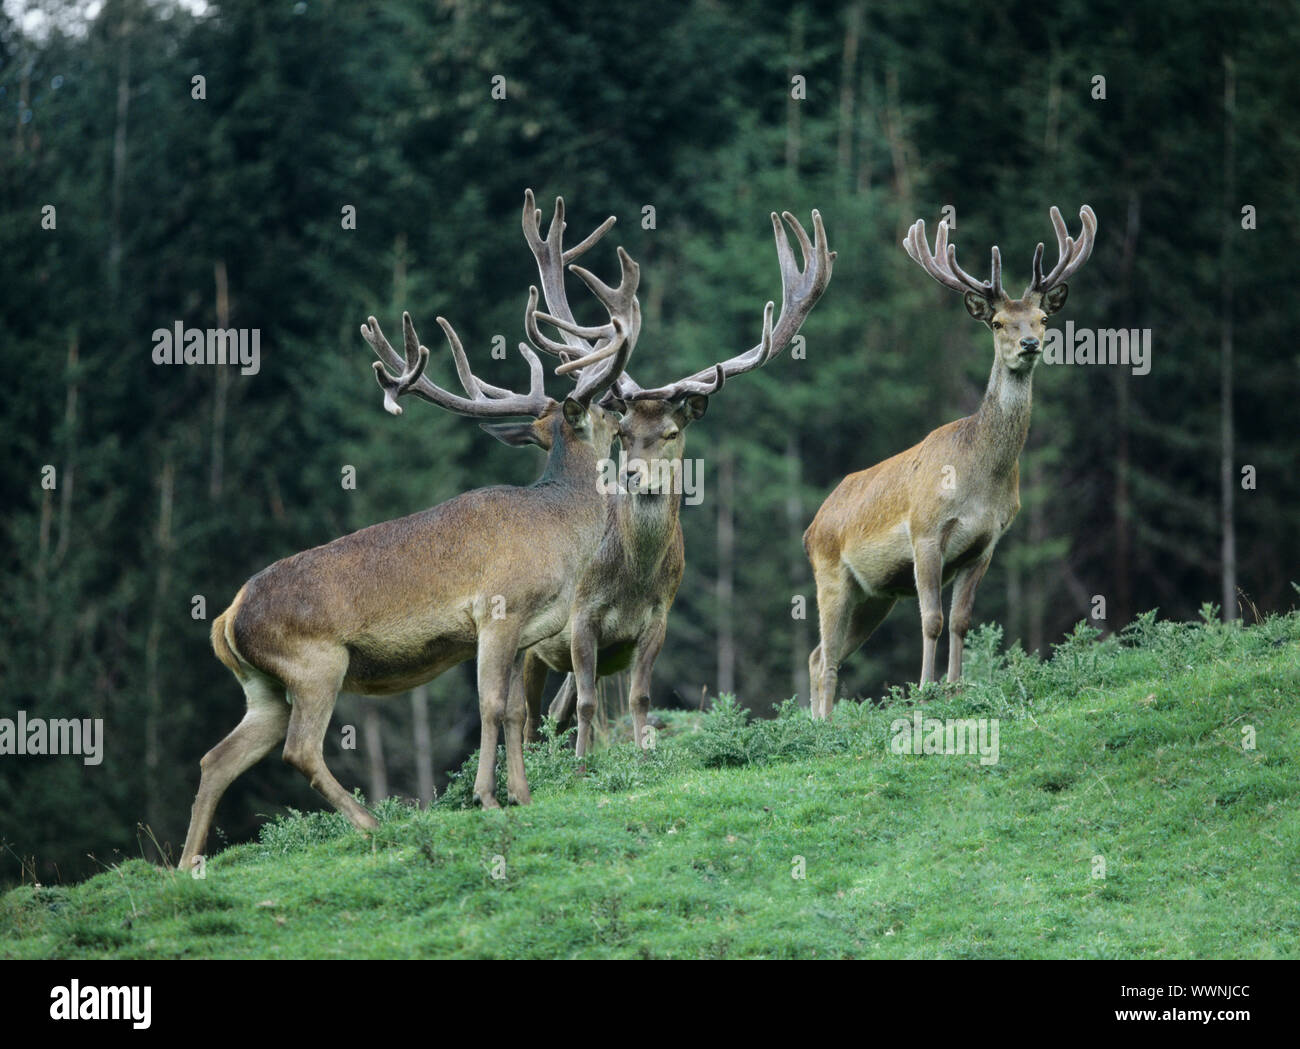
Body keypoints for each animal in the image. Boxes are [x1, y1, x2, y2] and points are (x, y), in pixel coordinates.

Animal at [177, 193, 636, 872]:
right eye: (604, 406)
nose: (627, 408)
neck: (559, 531)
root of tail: (227, 618)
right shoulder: (496, 610)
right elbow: (491, 706)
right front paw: (487, 798)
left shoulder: (528, 629)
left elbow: (517, 710)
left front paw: (523, 795)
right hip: (315, 662)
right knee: (298, 749)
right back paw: (372, 822)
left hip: (261, 685)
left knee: (218, 757)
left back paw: (186, 866)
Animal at [516, 197, 835, 758]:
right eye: (621, 432)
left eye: (669, 431)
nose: (635, 476)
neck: (630, 580)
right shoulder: (580, 618)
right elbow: (588, 704)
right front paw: (581, 766)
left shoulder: (657, 621)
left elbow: (639, 697)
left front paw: (644, 754)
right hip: (530, 639)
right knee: (530, 718)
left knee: (553, 712)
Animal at [804, 204, 1096, 719]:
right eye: (997, 322)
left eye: (1042, 317)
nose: (1030, 345)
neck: (979, 478)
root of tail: (811, 527)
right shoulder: (925, 533)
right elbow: (932, 620)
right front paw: (924, 690)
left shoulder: (985, 543)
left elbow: (961, 621)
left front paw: (957, 688)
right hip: (831, 573)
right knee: (824, 654)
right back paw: (820, 724)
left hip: (874, 594)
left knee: (821, 653)